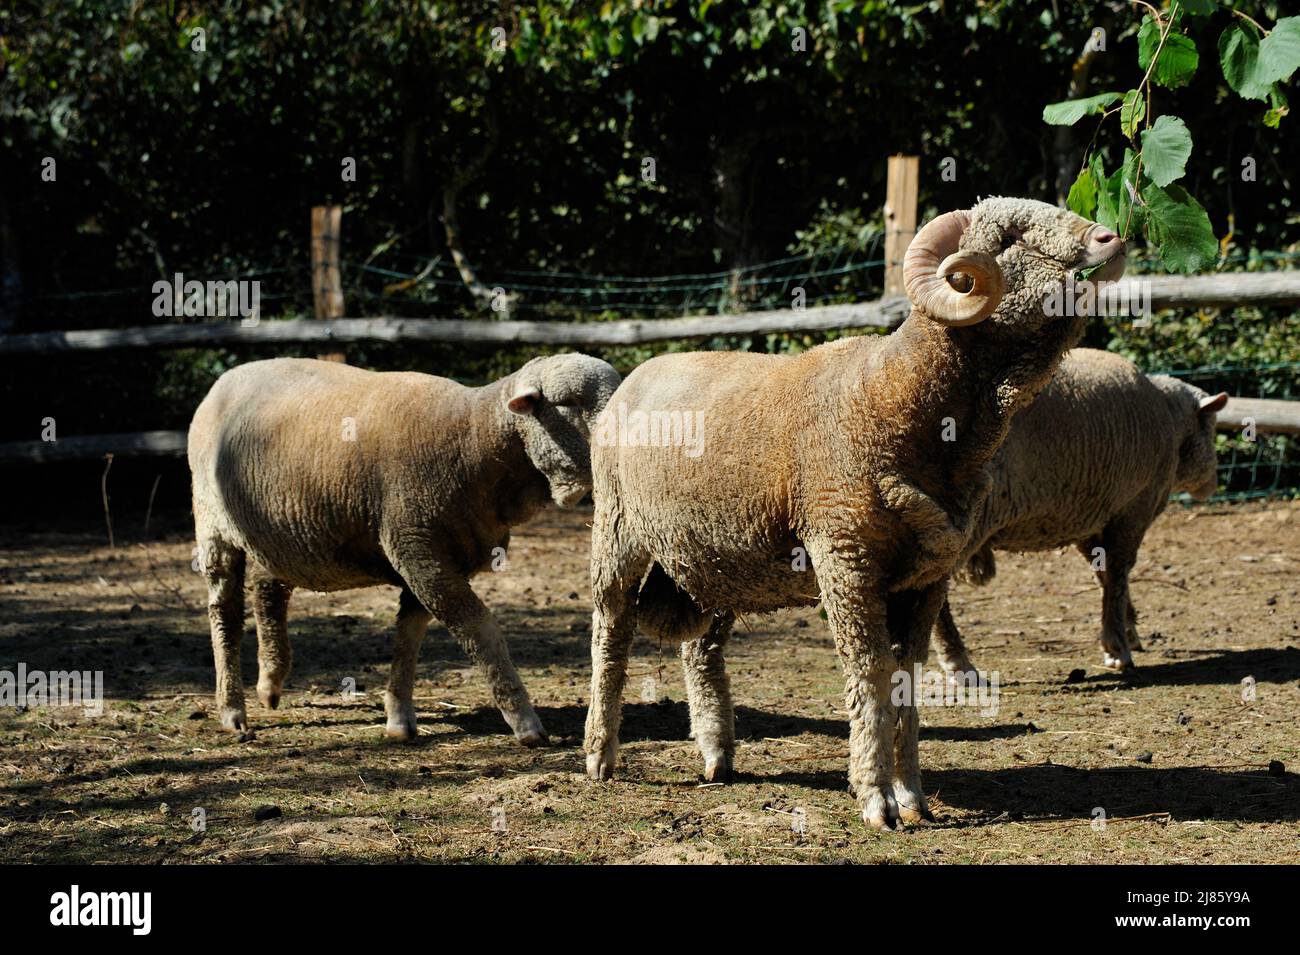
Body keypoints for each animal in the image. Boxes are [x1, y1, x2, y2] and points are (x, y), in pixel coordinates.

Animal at [188, 354, 621, 744]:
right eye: (569, 403)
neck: (475, 442)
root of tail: (225, 380)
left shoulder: (428, 554)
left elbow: (411, 633)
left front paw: (398, 715)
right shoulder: (419, 550)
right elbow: (479, 629)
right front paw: (525, 722)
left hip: (280, 529)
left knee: (269, 591)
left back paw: (270, 684)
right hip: (213, 522)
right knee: (225, 612)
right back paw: (232, 710)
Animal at [581, 197, 1126, 829]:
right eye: (1012, 236)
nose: (1110, 239)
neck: (897, 399)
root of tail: (635, 376)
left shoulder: (928, 576)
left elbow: (907, 678)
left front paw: (912, 795)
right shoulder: (845, 557)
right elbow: (868, 673)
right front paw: (876, 798)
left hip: (718, 559)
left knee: (701, 649)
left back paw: (718, 755)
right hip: (617, 528)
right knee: (611, 632)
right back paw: (600, 756)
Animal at [929, 348, 1227, 675]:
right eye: (1211, 427)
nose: (1213, 483)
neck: (1169, 418)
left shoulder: (1090, 518)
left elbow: (1104, 575)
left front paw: (1128, 629)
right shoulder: (1133, 508)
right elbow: (1119, 573)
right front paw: (1117, 647)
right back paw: (957, 662)